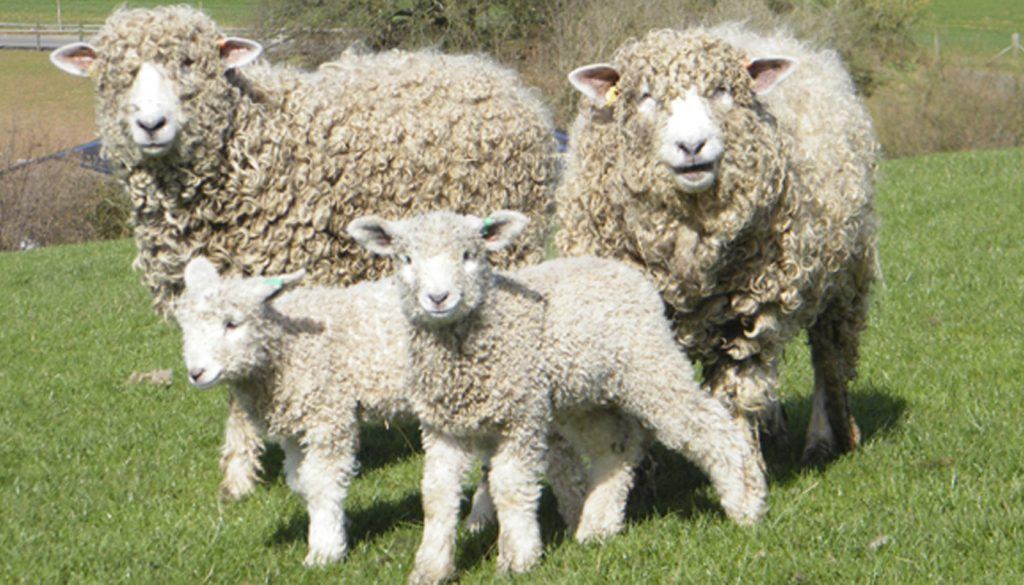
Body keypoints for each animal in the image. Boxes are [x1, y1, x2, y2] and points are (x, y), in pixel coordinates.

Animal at [50, 6, 557, 498]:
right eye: (115, 72)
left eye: (190, 62)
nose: (151, 125)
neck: (246, 146)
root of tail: (499, 77)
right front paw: (240, 472)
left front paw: (241, 477)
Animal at [349, 210, 766, 583]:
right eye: (406, 258)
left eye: (469, 254)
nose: (438, 298)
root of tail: (621, 270)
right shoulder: (442, 427)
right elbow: (436, 496)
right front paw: (431, 567)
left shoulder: (522, 415)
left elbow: (509, 486)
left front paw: (517, 558)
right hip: (584, 395)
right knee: (613, 448)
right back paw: (597, 526)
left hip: (648, 362)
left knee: (707, 425)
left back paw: (745, 504)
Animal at [555, 25, 879, 464]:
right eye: (645, 96)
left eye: (722, 91)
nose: (692, 147)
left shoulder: (747, 317)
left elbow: (736, 402)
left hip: (842, 281)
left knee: (827, 359)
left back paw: (823, 438)